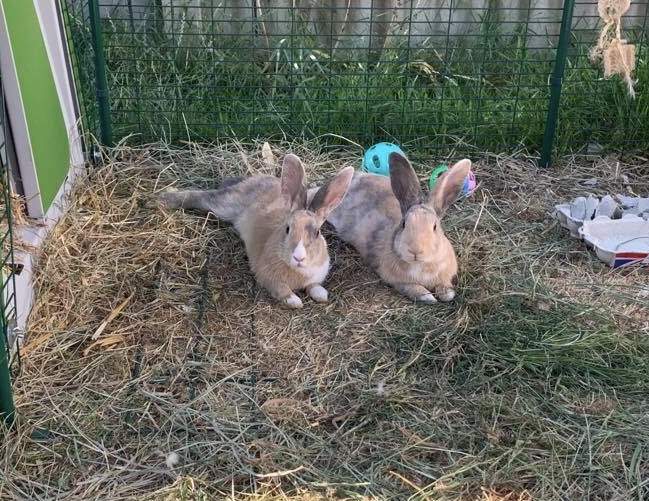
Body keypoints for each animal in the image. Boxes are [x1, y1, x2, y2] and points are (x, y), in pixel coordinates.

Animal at [159, 154, 354, 308]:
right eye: (288, 228)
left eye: (317, 233)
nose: (299, 257)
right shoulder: (268, 277)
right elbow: (282, 290)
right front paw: (294, 301)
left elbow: (313, 286)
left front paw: (322, 295)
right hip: (223, 205)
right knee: (201, 197)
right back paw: (162, 199)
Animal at [312, 152, 471, 304]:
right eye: (404, 224)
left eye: (435, 226)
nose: (415, 251)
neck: (420, 265)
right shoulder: (398, 282)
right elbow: (414, 289)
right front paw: (428, 298)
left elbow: (445, 288)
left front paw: (447, 294)